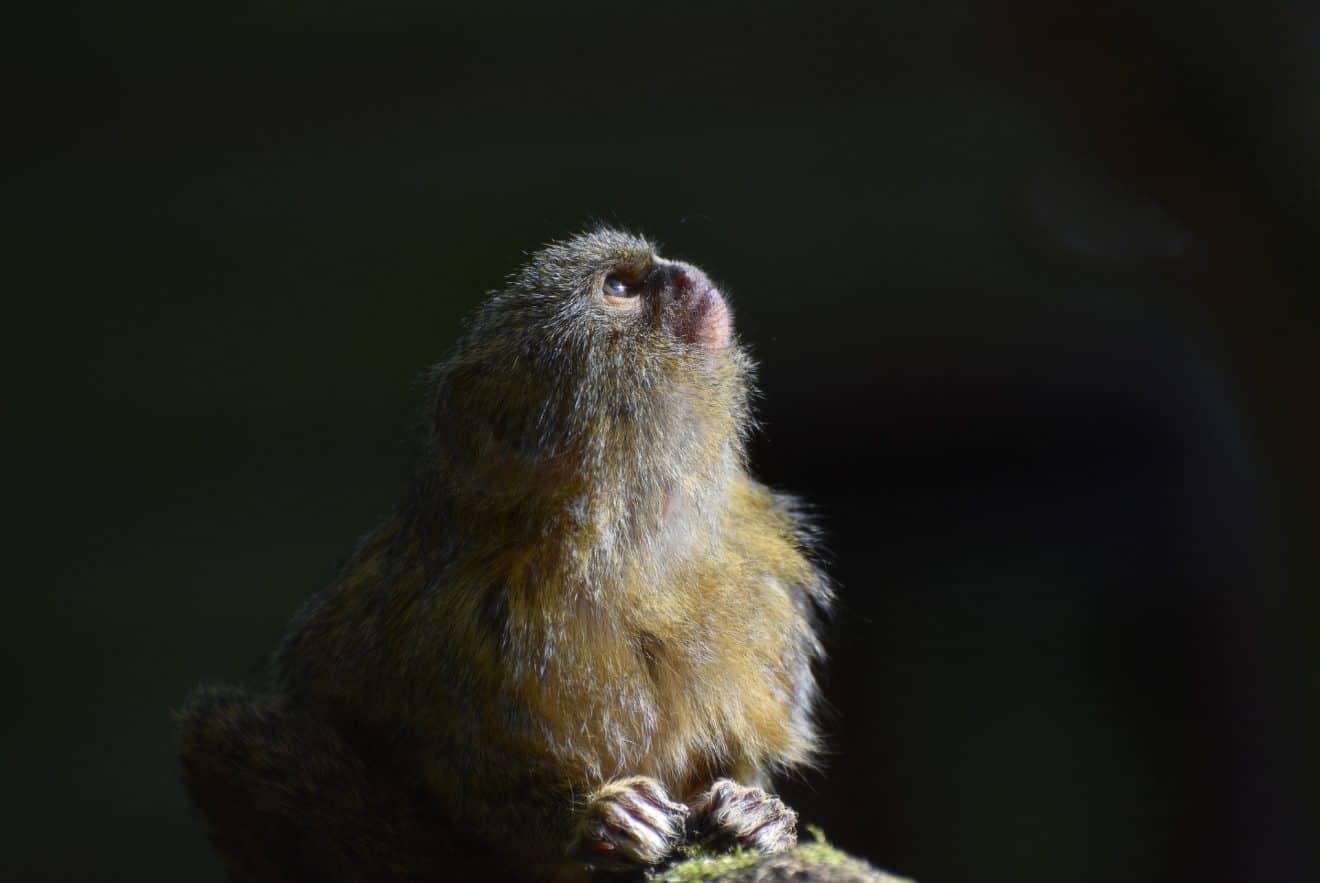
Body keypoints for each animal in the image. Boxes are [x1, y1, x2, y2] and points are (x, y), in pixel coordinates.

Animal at [177, 228, 833, 882]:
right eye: (619, 287)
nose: (681, 273)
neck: (631, 530)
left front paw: (754, 813)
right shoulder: (439, 612)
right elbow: (448, 764)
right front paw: (593, 822)